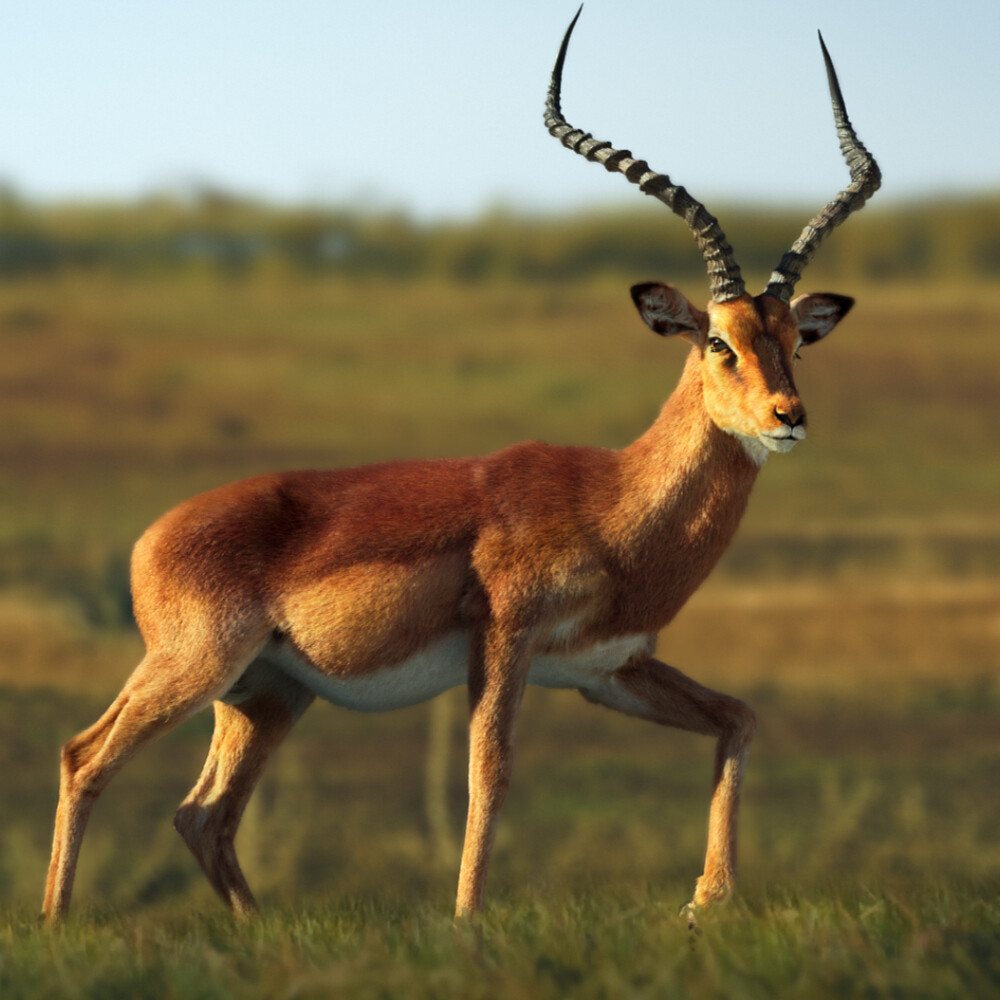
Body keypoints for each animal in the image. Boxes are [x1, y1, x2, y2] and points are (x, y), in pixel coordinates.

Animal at [42, 9, 880, 925]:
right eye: (720, 342)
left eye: (795, 338)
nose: (788, 417)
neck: (609, 504)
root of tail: (152, 538)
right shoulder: (506, 640)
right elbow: (490, 776)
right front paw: (467, 926)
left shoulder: (608, 669)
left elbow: (739, 716)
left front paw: (706, 904)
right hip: (198, 668)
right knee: (85, 756)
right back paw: (54, 924)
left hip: (267, 694)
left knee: (203, 813)